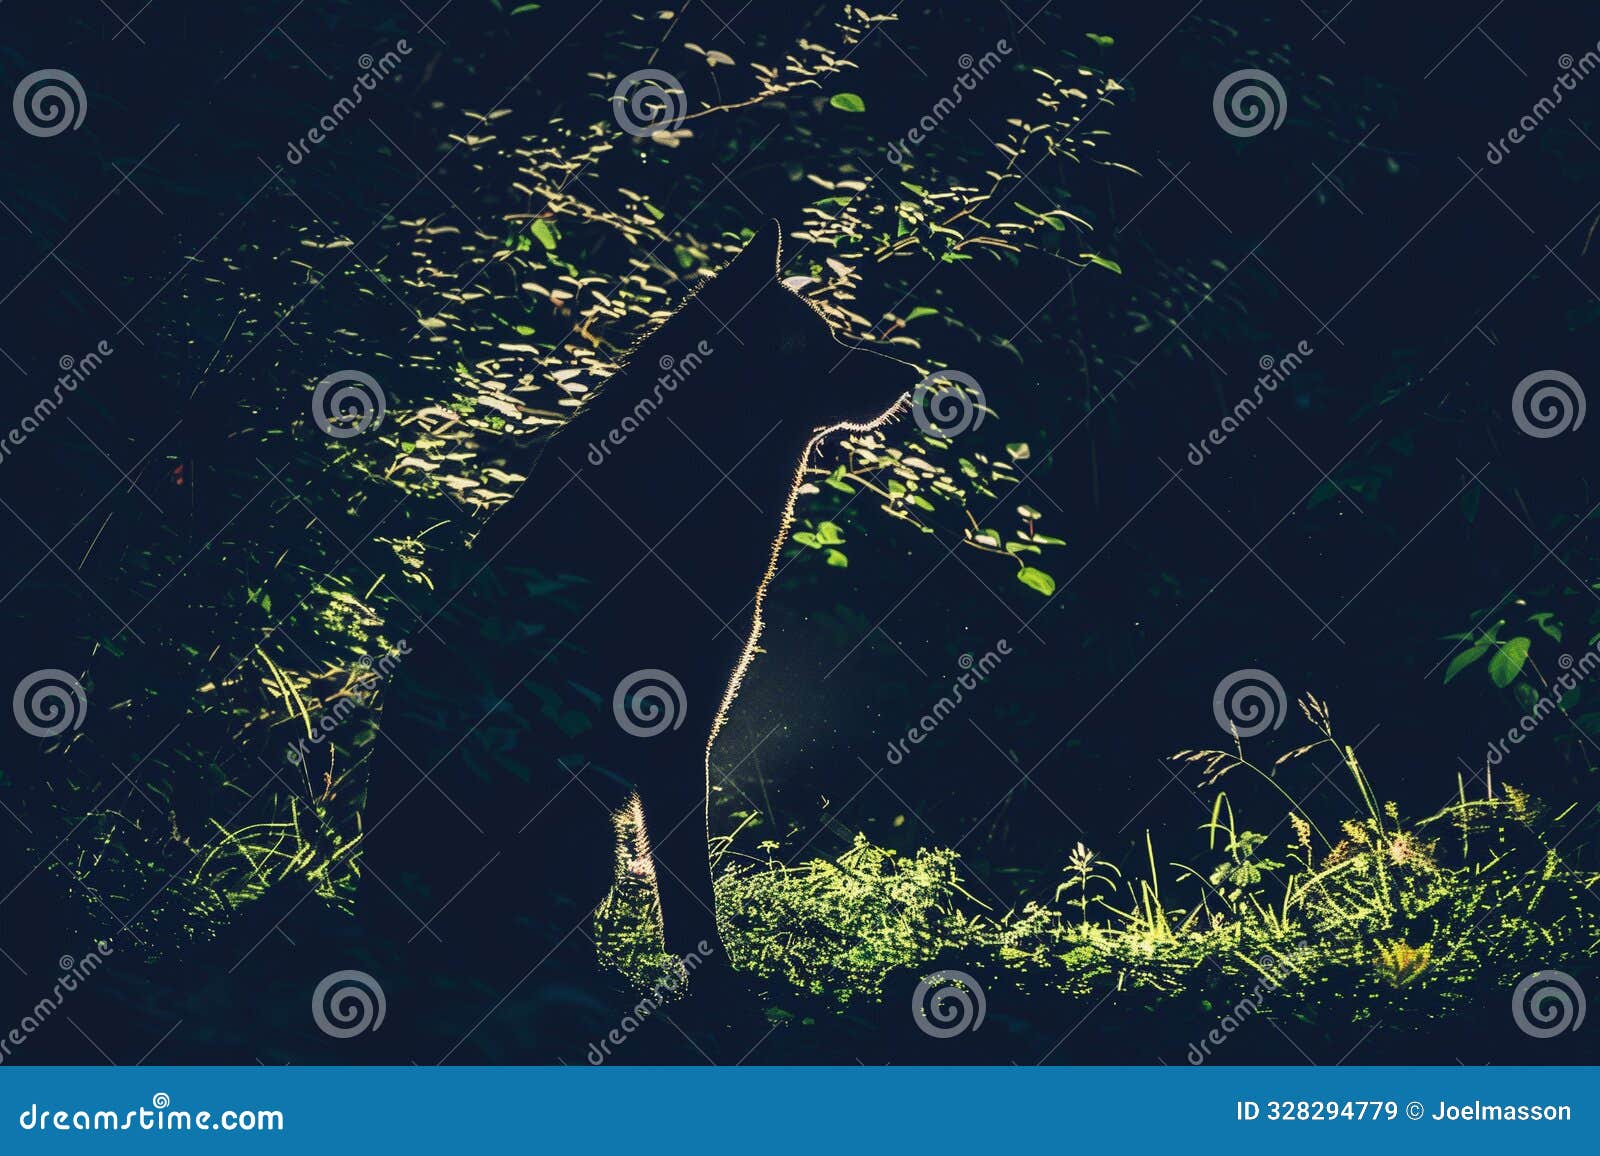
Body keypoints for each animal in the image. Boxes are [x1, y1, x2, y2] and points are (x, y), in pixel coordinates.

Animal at [360, 219, 916, 1050]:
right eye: (818, 339)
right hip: (580, 821)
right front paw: (723, 1003)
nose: (913, 372)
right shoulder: (675, 740)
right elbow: (690, 893)